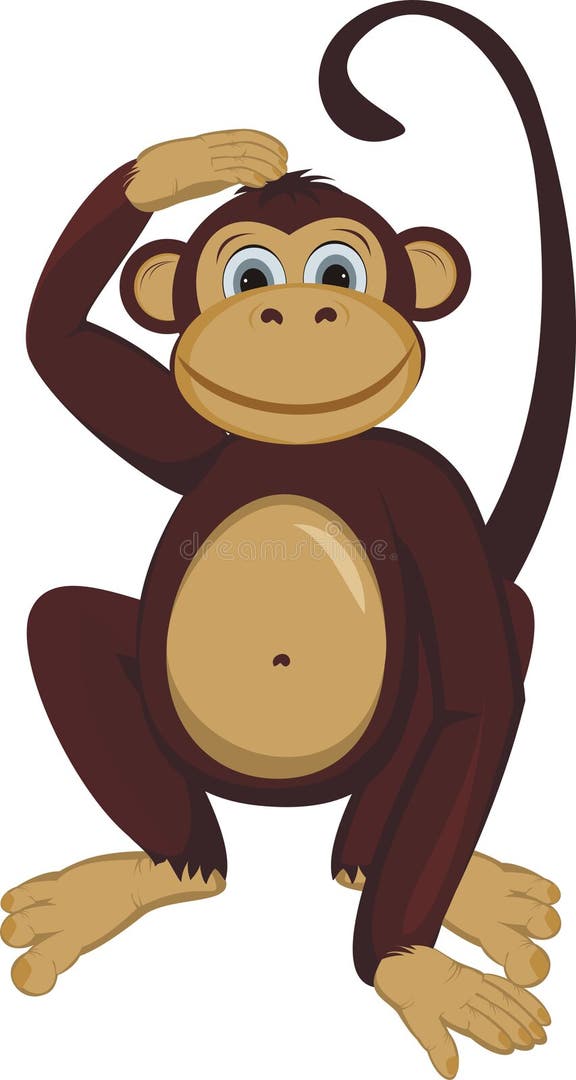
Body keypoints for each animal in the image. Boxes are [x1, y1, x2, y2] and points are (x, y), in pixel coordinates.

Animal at [1, 3, 573, 1076]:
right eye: (245, 272)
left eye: (342, 269)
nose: (295, 306)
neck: (303, 449)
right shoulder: (191, 440)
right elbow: (53, 347)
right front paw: (185, 162)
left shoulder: (428, 489)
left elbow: (477, 697)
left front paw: (411, 972)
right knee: (64, 626)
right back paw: (161, 873)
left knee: (494, 642)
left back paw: (406, 880)